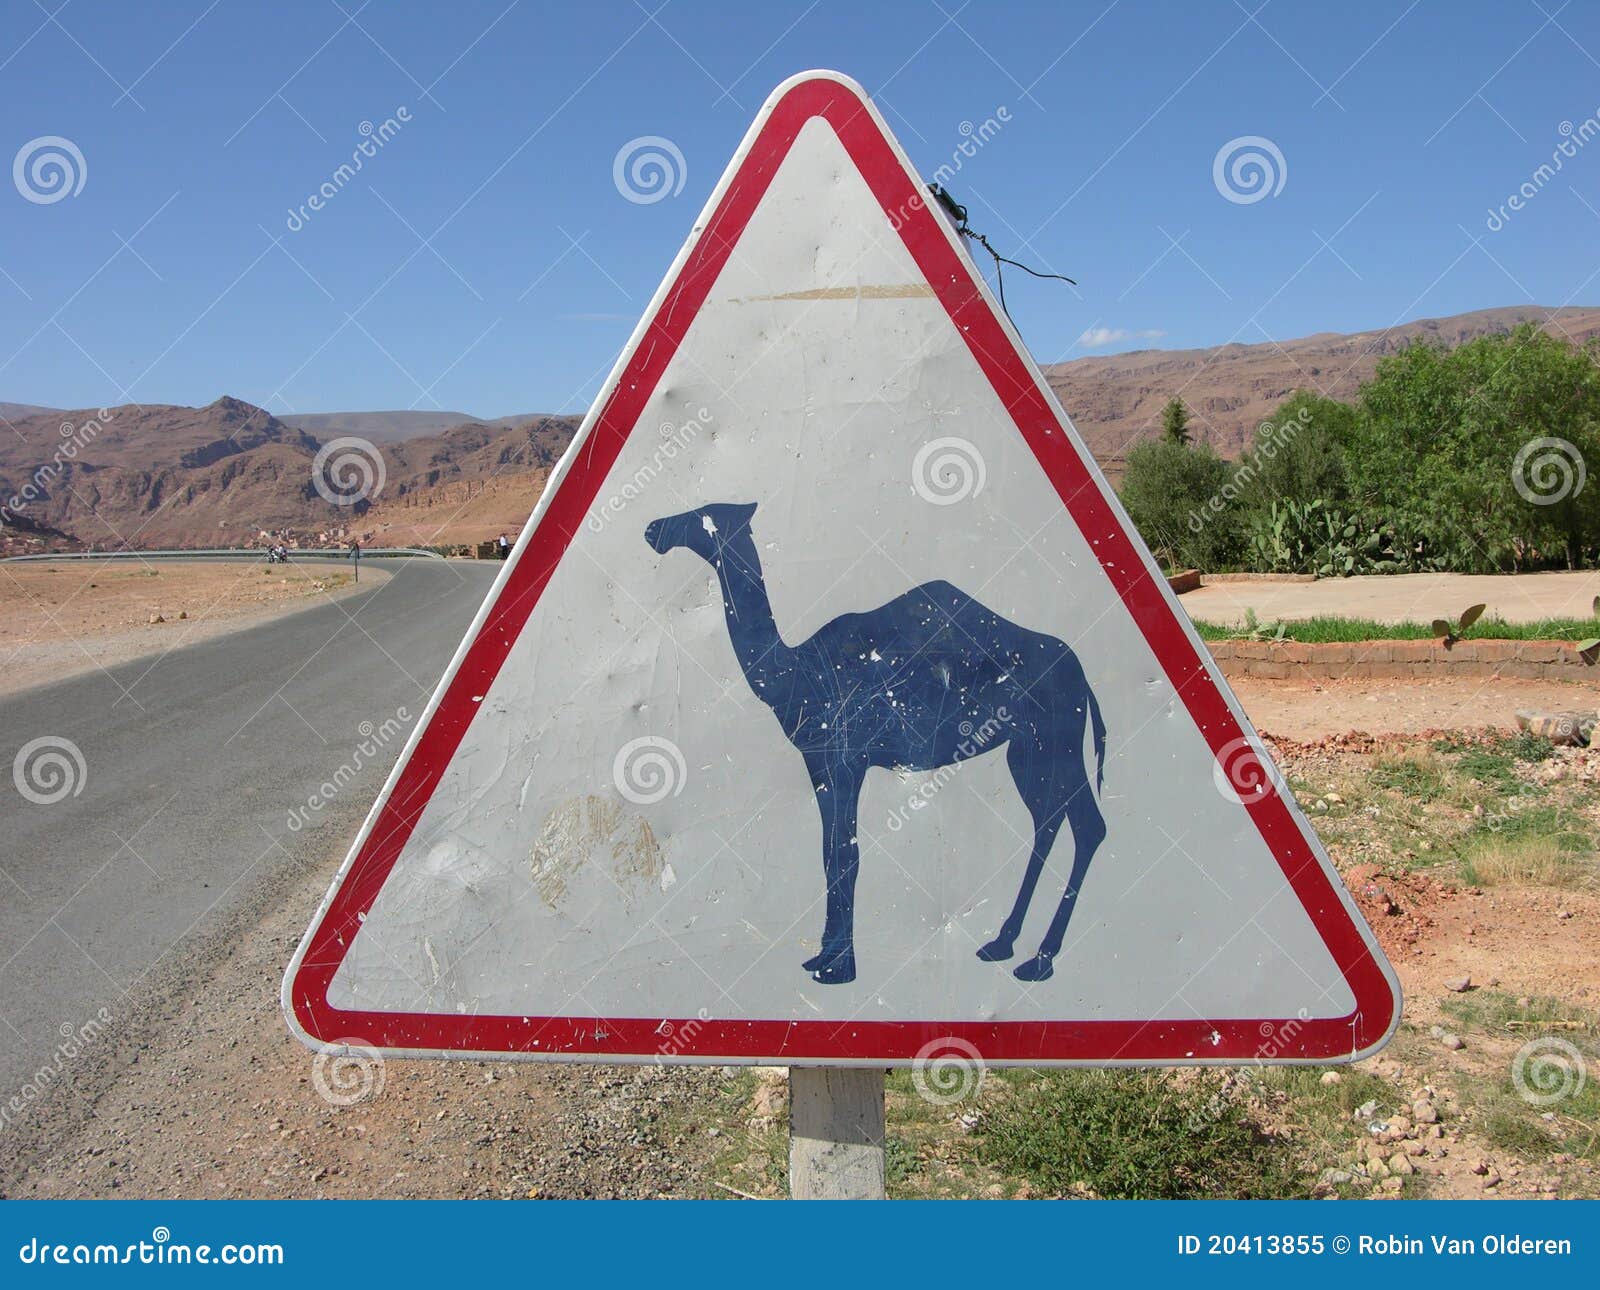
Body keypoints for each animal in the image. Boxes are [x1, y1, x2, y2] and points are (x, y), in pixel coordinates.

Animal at [644, 501, 1108, 984]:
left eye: (703, 515)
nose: (653, 528)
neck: (796, 672)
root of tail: (1083, 679)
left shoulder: (846, 760)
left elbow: (845, 854)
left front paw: (838, 967)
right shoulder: (821, 762)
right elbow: (830, 852)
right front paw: (822, 957)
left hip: (1056, 740)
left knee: (1086, 824)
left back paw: (1040, 960)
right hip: (1027, 749)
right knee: (1051, 820)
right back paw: (1005, 945)